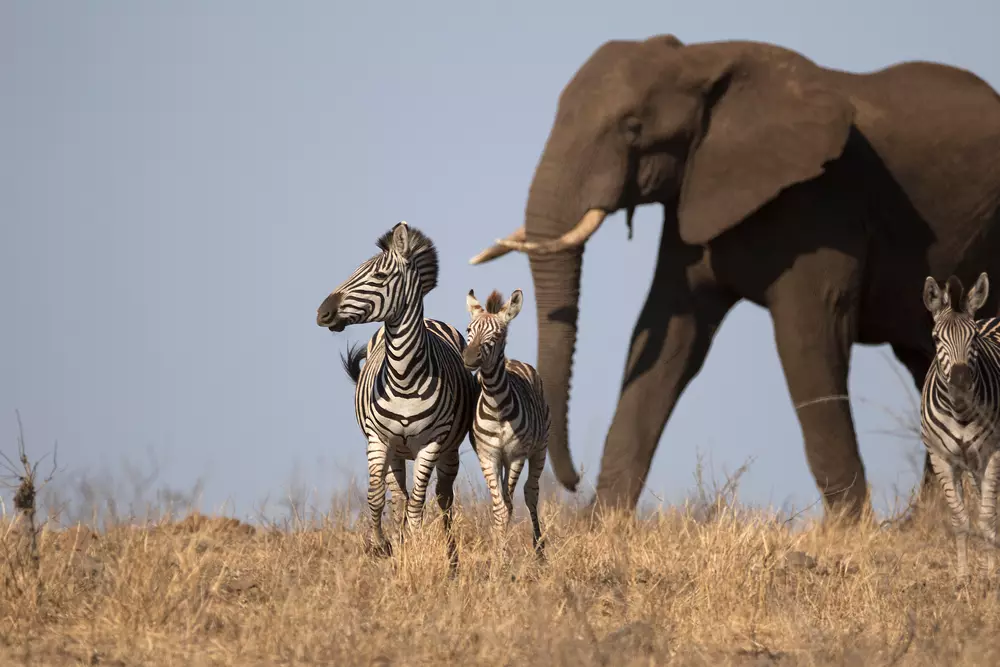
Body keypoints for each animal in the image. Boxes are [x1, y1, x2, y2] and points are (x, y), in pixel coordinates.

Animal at [318, 222, 478, 560]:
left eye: (379, 277)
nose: (322, 313)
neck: (404, 375)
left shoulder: (431, 444)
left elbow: (419, 504)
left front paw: (416, 546)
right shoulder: (378, 440)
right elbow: (376, 496)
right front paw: (380, 543)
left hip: (447, 451)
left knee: (442, 499)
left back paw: (450, 556)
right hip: (395, 452)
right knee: (399, 496)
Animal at [468, 34, 1000, 520]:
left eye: (633, 128)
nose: (574, 480)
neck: (704, 60)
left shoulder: (826, 202)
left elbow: (809, 339)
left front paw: (850, 532)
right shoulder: (695, 191)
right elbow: (667, 336)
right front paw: (605, 526)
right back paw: (927, 524)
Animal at [920, 272, 1000, 584]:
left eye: (974, 337)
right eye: (935, 338)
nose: (961, 381)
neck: (961, 411)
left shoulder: (993, 454)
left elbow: (987, 517)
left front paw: (989, 578)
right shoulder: (940, 459)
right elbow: (961, 520)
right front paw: (964, 579)